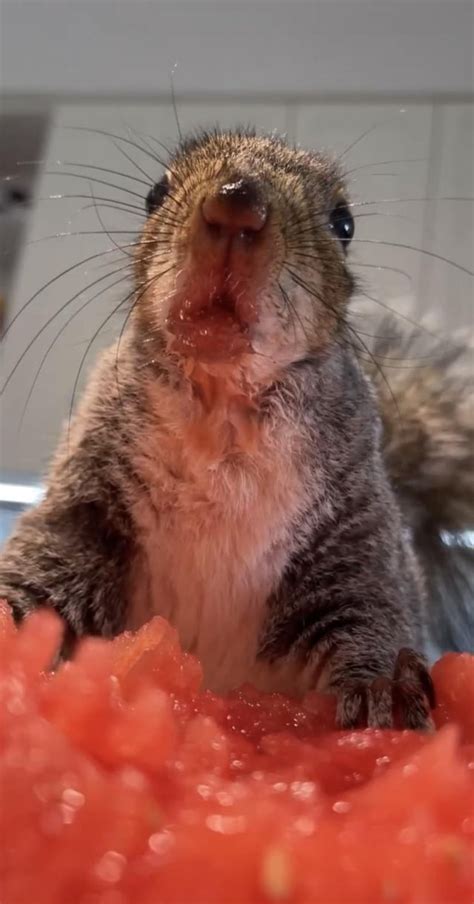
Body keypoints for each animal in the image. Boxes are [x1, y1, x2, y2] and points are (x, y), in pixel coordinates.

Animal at [0, 128, 472, 729]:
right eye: (156, 193)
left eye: (344, 223)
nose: (237, 203)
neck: (221, 406)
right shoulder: (88, 497)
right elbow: (49, 561)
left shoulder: (355, 527)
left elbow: (365, 603)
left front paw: (382, 685)